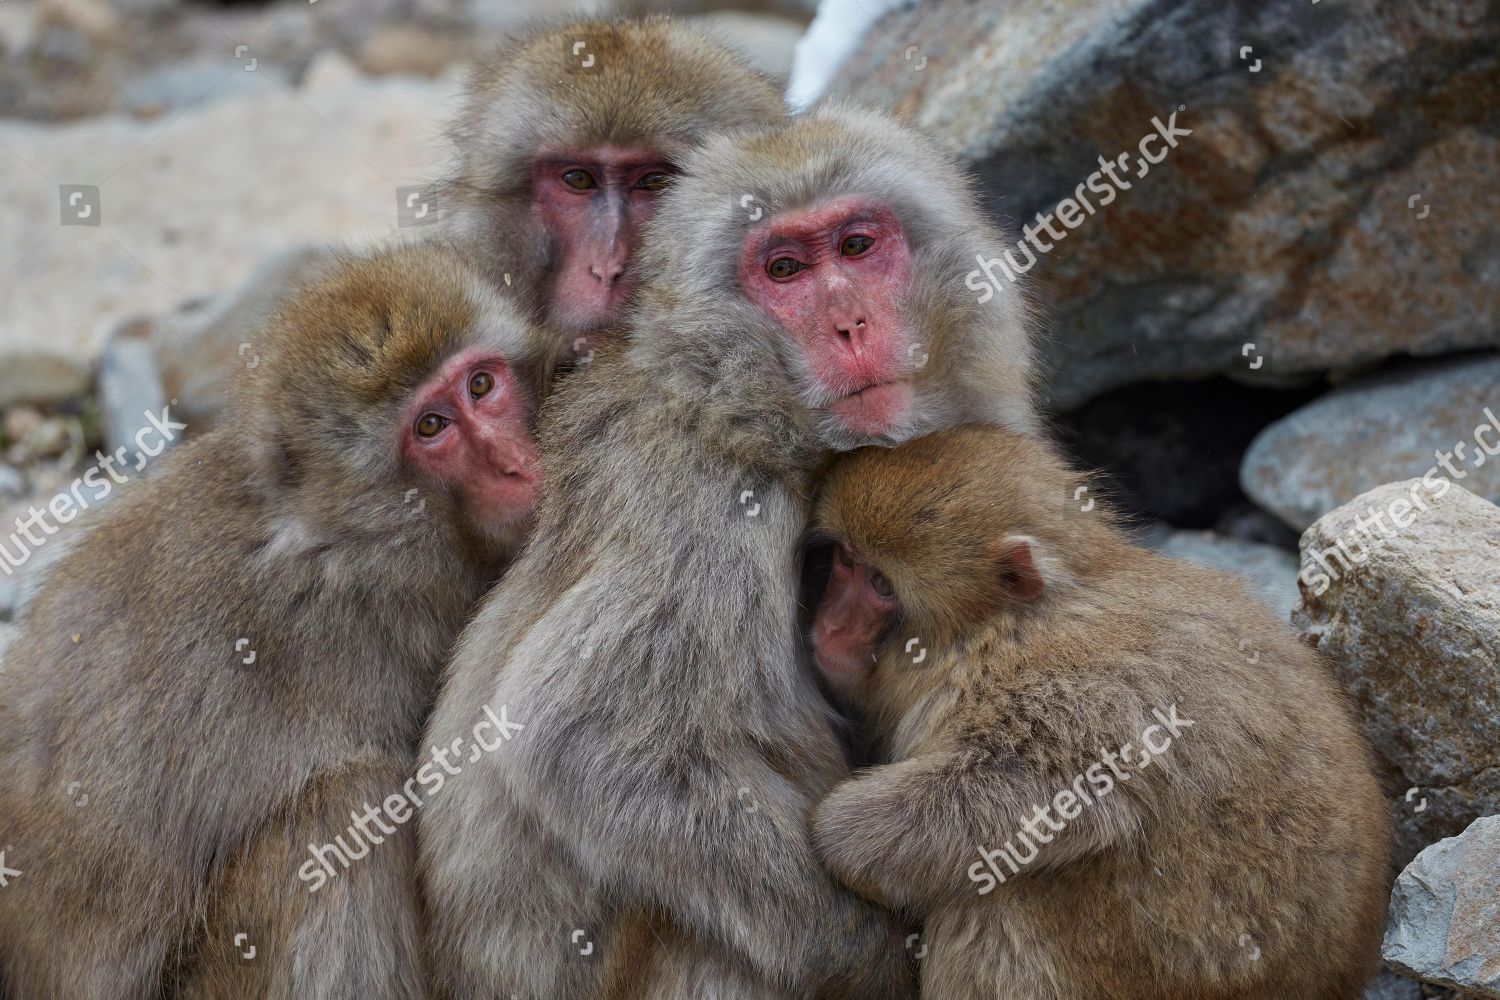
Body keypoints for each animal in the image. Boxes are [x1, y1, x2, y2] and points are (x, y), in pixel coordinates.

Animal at [0, 242, 549, 1000]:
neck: (338, 537)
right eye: (431, 427)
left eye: (483, 385)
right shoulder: (389, 630)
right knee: (343, 811)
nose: (512, 462)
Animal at [417, 104, 1041, 999]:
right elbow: (579, 742)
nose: (851, 325)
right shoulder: (705, 505)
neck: (746, 405)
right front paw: (878, 957)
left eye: (857, 246)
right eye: (783, 269)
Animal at [805, 424, 1392, 1000]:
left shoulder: (1057, 683)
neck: (994, 625)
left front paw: (844, 835)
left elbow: (1055, 787)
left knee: (999, 902)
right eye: (845, 561)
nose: (831, 624)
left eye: (880, 584)